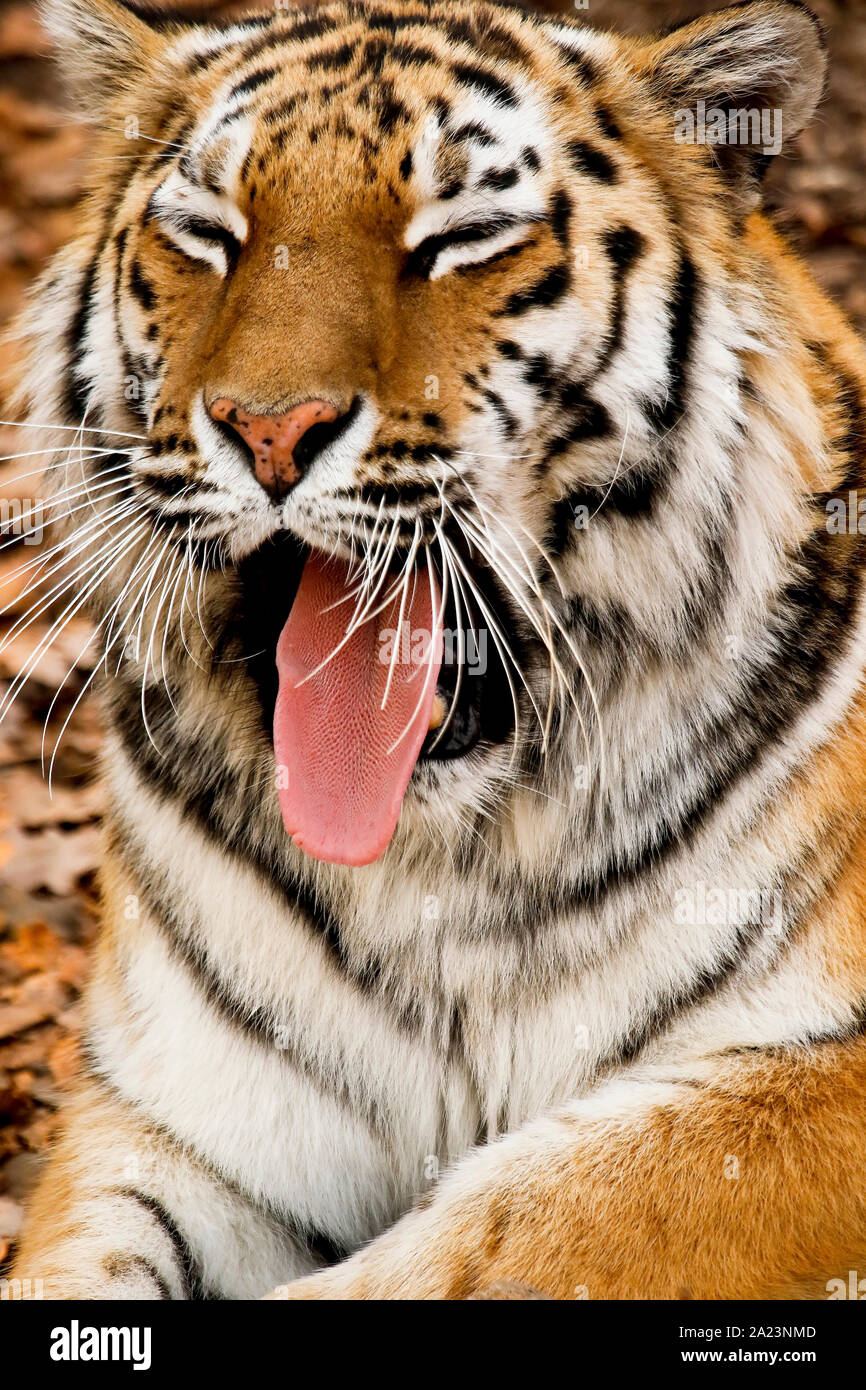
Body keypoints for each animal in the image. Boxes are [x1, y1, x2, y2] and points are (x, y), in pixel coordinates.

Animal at [7, 0, 866, 1301]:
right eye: (208, 235)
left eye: (457, 240)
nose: (269, 429)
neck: (434, 868)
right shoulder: (183, 1123)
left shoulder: (809, 1082)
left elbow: (519, 1222)